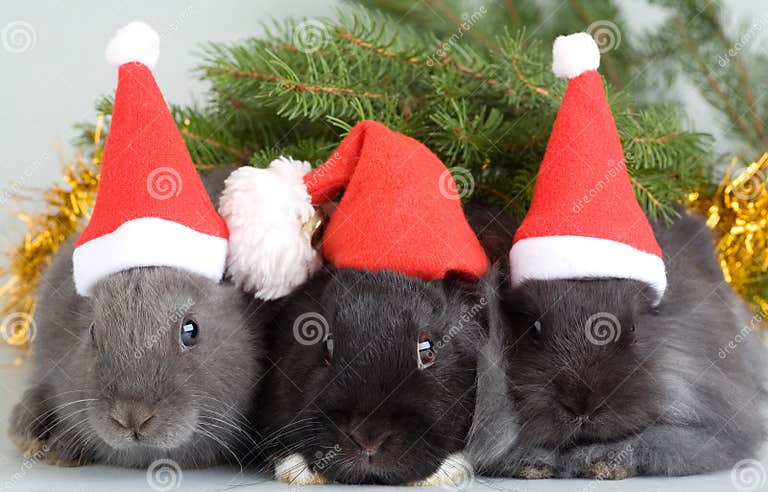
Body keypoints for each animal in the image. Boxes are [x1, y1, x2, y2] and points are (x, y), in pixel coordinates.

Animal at [472, 210, 768, 479]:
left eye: (634, 328)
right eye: (533, 328)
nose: (582, 408)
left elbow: (654, 440)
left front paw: (599, 462)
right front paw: (533, 465)